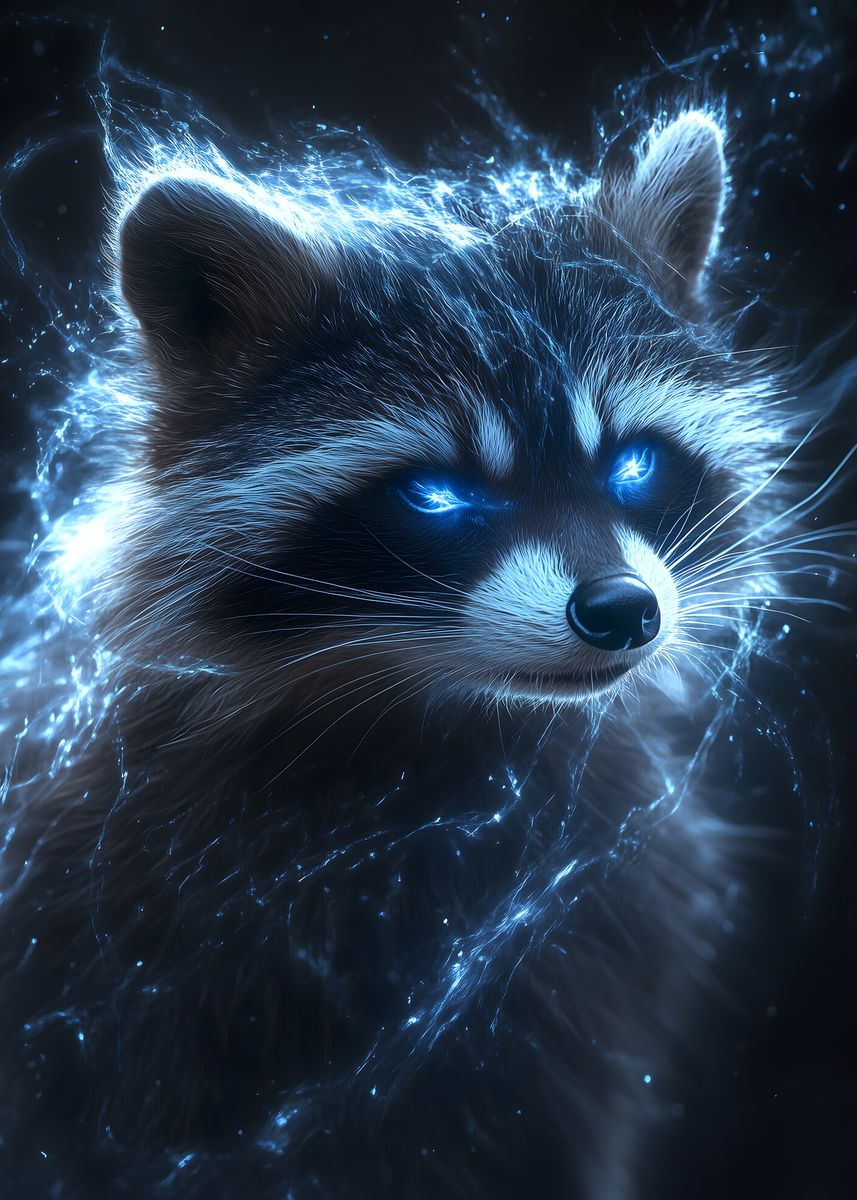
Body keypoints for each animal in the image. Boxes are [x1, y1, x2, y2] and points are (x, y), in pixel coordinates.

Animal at [0, 110, 817, 1198]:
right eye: (435, 495)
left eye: (633, 463)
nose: (621, 611)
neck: (448, 721)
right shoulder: (117, 949)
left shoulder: (575, 966)